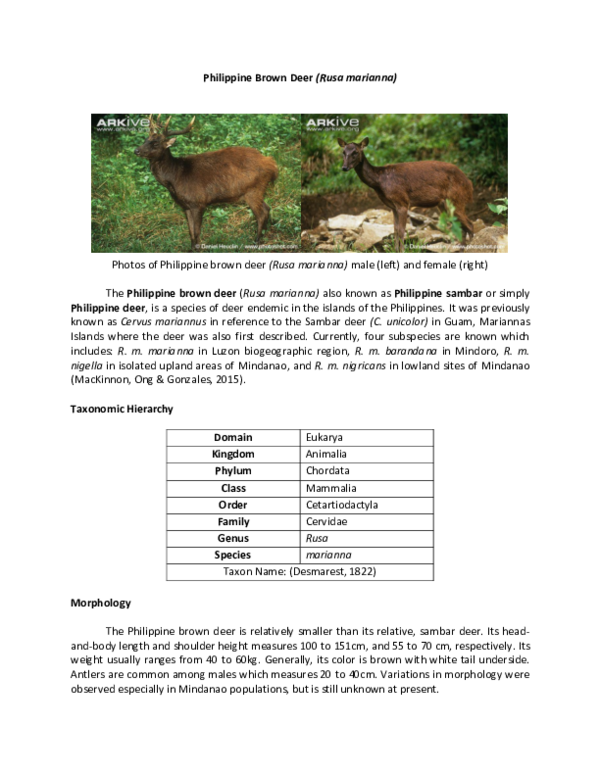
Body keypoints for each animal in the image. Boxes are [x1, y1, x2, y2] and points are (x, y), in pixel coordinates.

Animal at [135, 113, 279, 253]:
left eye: (155, 144)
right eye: (145, 139)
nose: (136, 150)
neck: (175, 177)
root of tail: (271, 164)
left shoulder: (198, 202)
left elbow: (197, 231)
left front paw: (199, 250)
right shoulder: (186, 206)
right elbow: (190, 231)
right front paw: (191, 250)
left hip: (253, 189)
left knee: (261, 214)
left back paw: (256, 243)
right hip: (256, 190)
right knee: (267, 208)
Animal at [338, 137, 474, 254]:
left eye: (355, 152)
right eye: (343, 152)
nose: (344, 167)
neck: (380, 181)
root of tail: (469, 184)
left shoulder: (402, 202)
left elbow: (402, 231)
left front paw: (401, 251)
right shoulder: (393, 207)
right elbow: (395, 230)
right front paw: (396, 250)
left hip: (456, 199)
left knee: (470, 226)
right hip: (444, 204)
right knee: (463, 227)